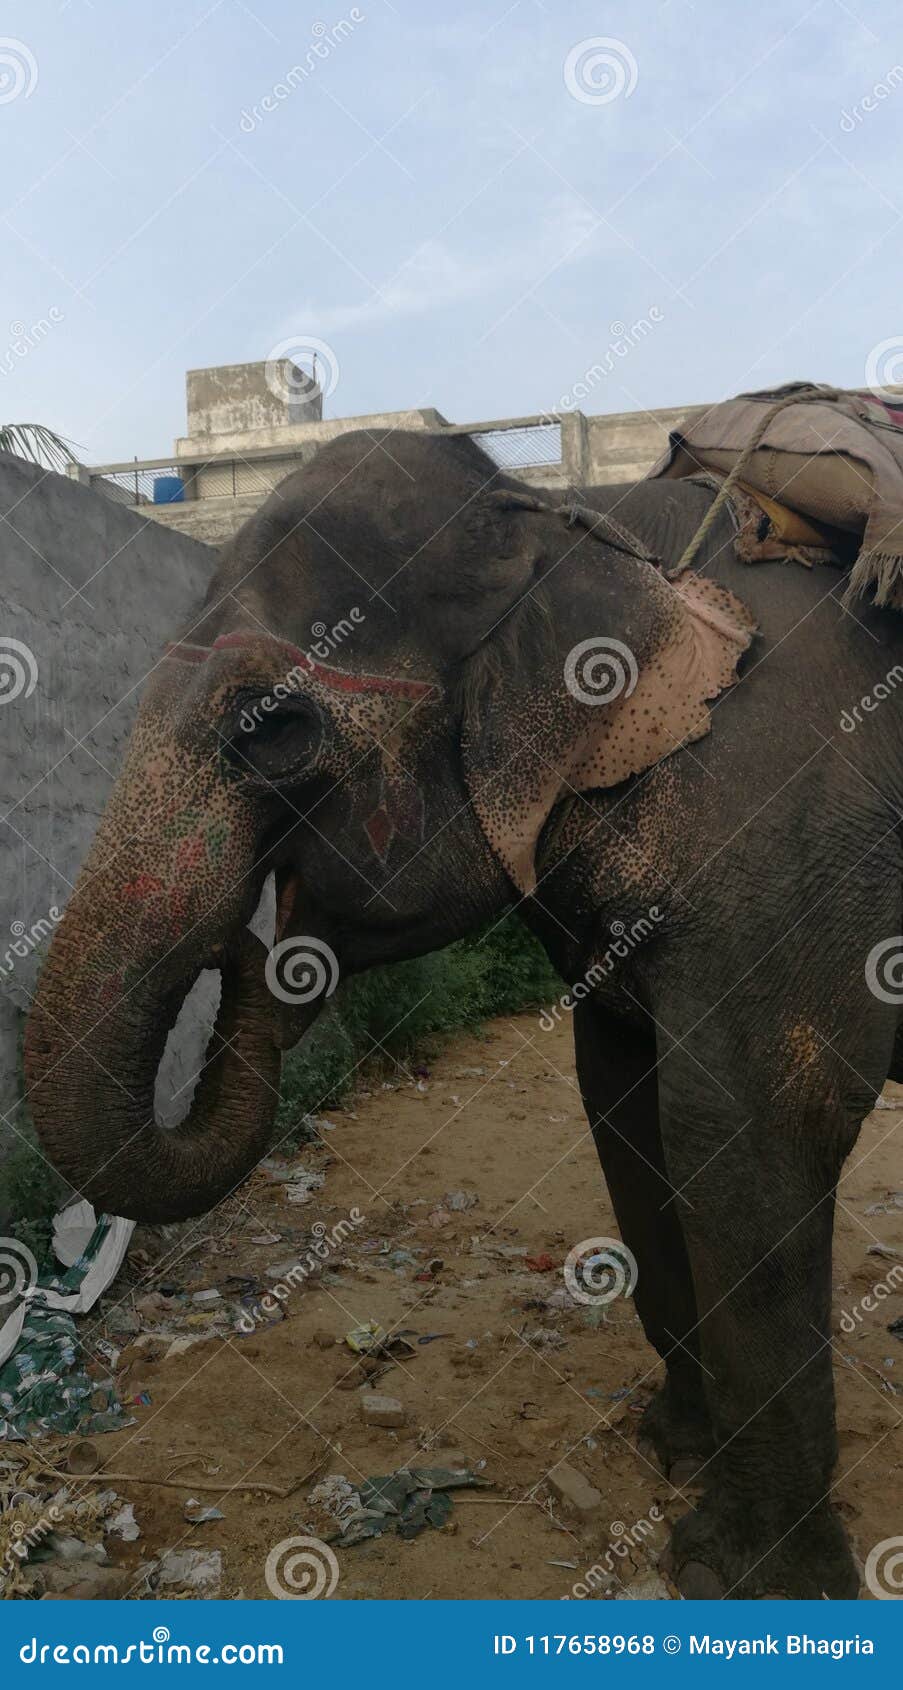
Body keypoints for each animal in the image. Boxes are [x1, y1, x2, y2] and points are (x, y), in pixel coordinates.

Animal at [25, 426, 903, 1601]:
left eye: (276, 732)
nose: (253, 944)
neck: (577, 518)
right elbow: (624, 1101)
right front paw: (674, 1449)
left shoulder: (785, 824)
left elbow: (751, 1128)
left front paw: (744, 1578)